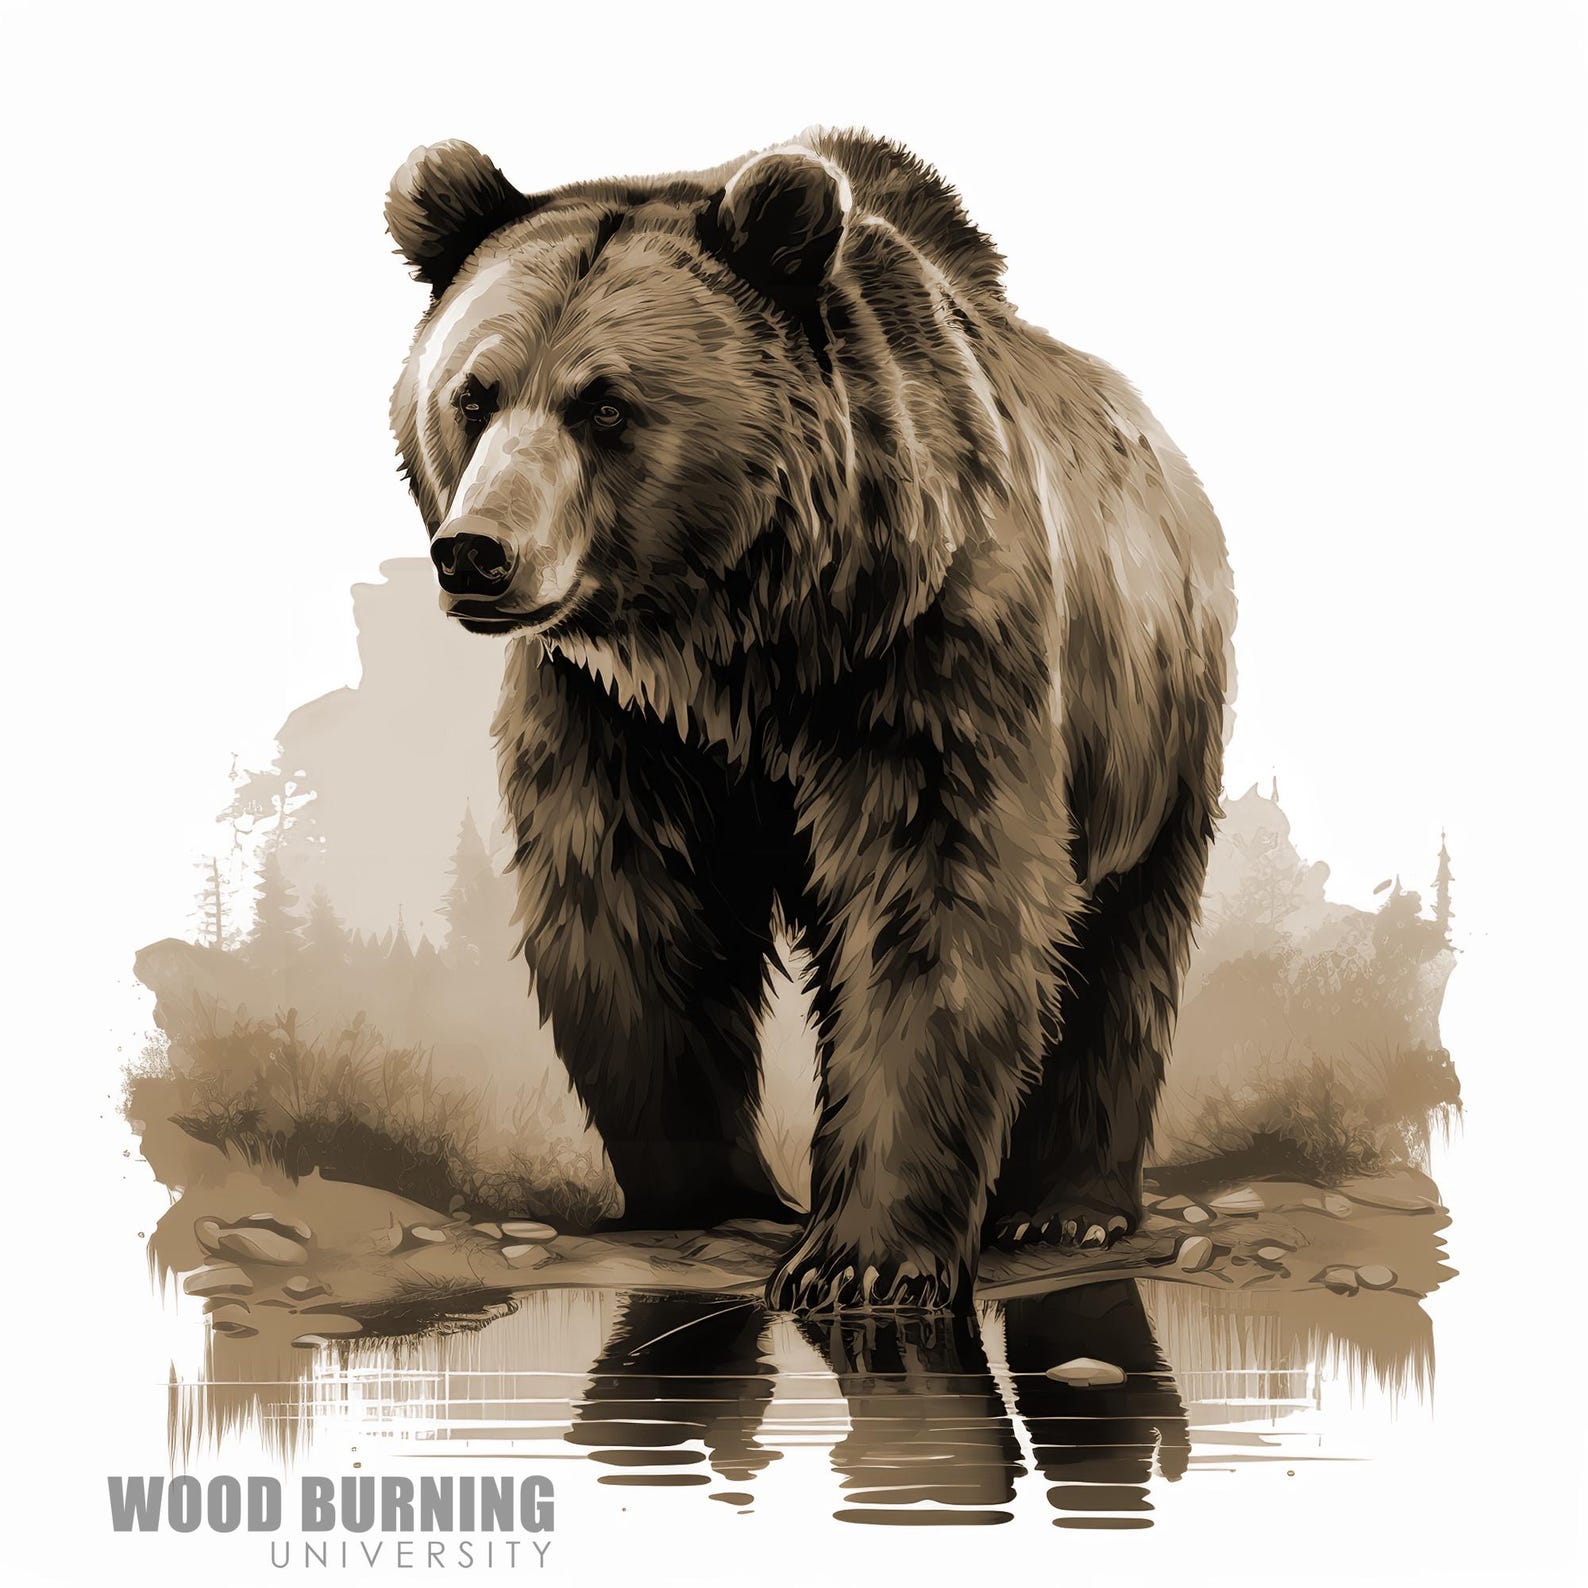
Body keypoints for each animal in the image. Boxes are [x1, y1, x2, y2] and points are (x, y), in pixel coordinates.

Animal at [385, 129, 1235, 1311]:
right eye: (474, 393)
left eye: (605, 405)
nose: (475, 552)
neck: (737, 631)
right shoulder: (616, 717)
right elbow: (633, 915)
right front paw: (706, 1193)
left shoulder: (927, 643)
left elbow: (936, 893)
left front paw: (863, 1254)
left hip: (1154, 721)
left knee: (1124, 945)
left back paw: (1071, 1204)